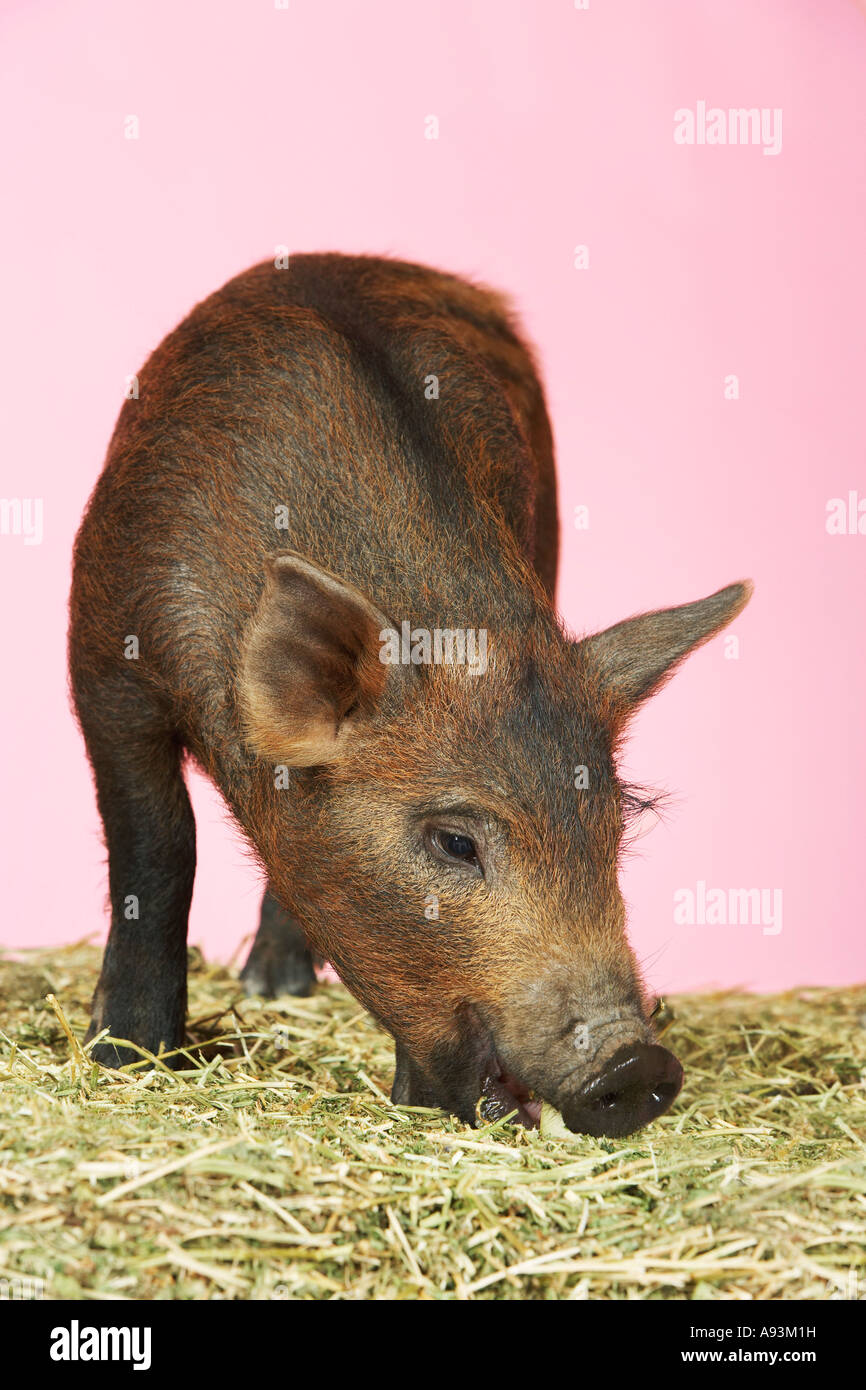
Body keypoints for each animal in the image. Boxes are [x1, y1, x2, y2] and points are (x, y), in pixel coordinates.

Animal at [68, 253, 751, 1137]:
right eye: (454, 842)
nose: (638, 1066)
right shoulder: (104, 661)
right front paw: (124, 1058)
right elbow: (156, 847)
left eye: (612, 828)